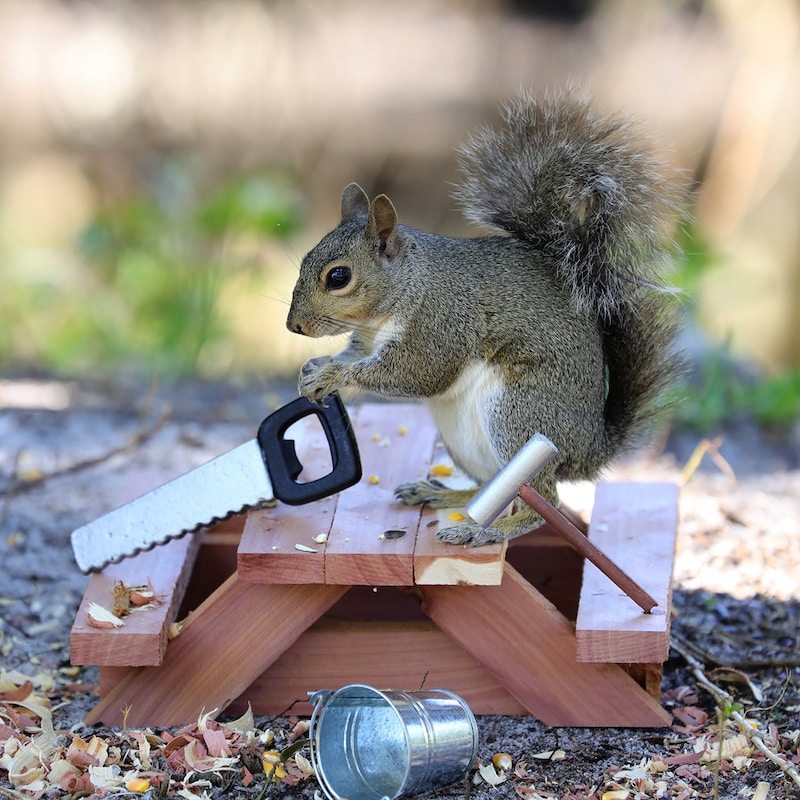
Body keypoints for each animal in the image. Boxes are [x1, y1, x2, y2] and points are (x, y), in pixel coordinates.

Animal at [286, 90, 684, 546]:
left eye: (339, 277)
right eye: (304, 260)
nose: (293, 326)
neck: (403, 292)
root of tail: (590, 449)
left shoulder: (440, 324)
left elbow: (413, 373)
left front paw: (333, 376)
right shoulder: (366, 340)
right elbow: (352, 356)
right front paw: (314, 368)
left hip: (522, 415)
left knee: (544, 501)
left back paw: (482, 531)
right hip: (466, 438)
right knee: (491, 484)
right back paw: (442, 495)